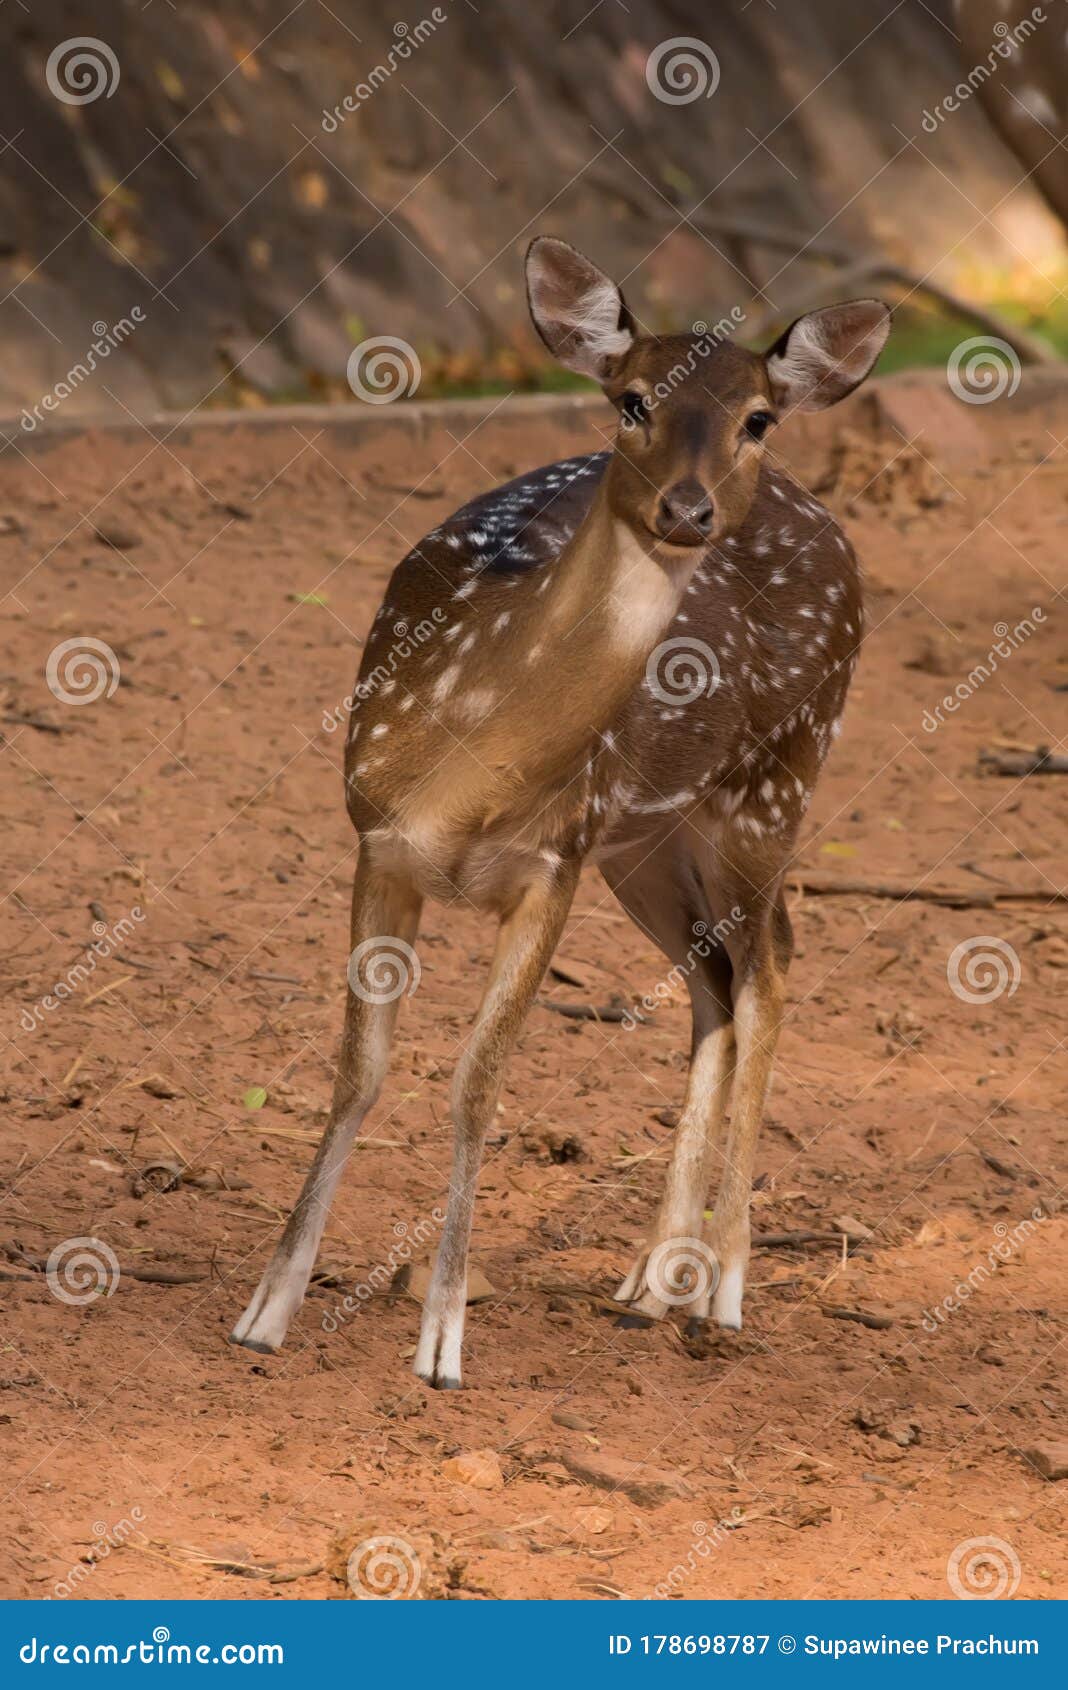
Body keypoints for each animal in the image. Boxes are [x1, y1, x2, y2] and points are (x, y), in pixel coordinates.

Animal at [230, 237, 889, 1387]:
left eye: (758, 416)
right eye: (630, 399)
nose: (688, 510)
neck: (462, 773)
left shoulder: (553, 865)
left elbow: (477, 1080)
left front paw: (443, 1343)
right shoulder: (376, 843)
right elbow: (360, 1068)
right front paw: (268, 1308)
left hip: (778, 780)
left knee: (771, 969)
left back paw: (722, 1292)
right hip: (650, 841)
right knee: (716, 984)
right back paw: (648, 1285)